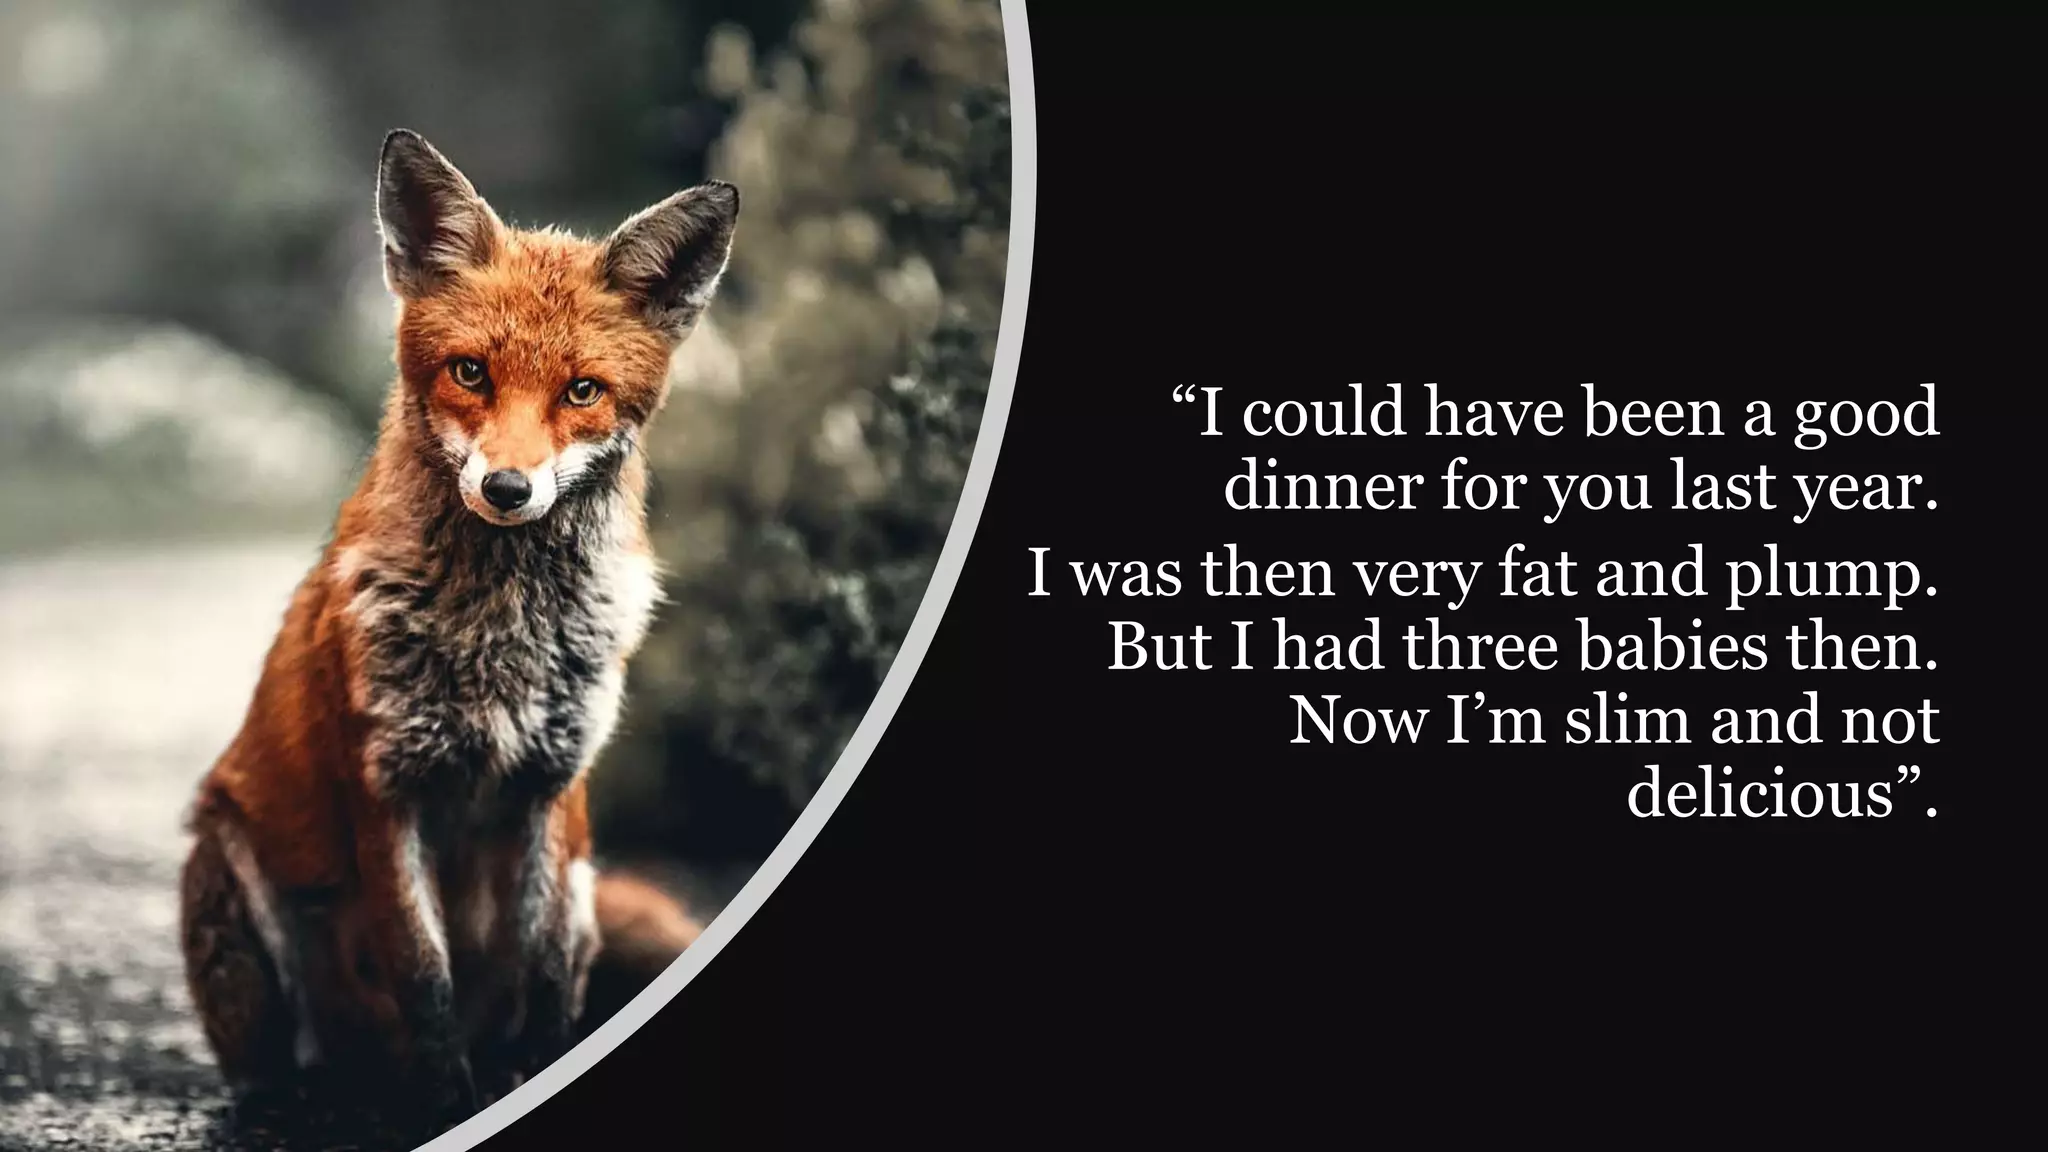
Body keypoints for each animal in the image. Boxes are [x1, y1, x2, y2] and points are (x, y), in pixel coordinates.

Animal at [176, 128, 737, 1120]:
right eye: (470, 371)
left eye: (582, 391)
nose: (508, 488)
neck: (500, 638)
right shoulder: (385, 787)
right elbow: (423, 974)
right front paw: (445, 1104)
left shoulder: (553, 787)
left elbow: (543, 977)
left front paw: (534, 1068)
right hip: (229, 863)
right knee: (288, 1057)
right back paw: (317, 1093)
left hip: (584, 881)